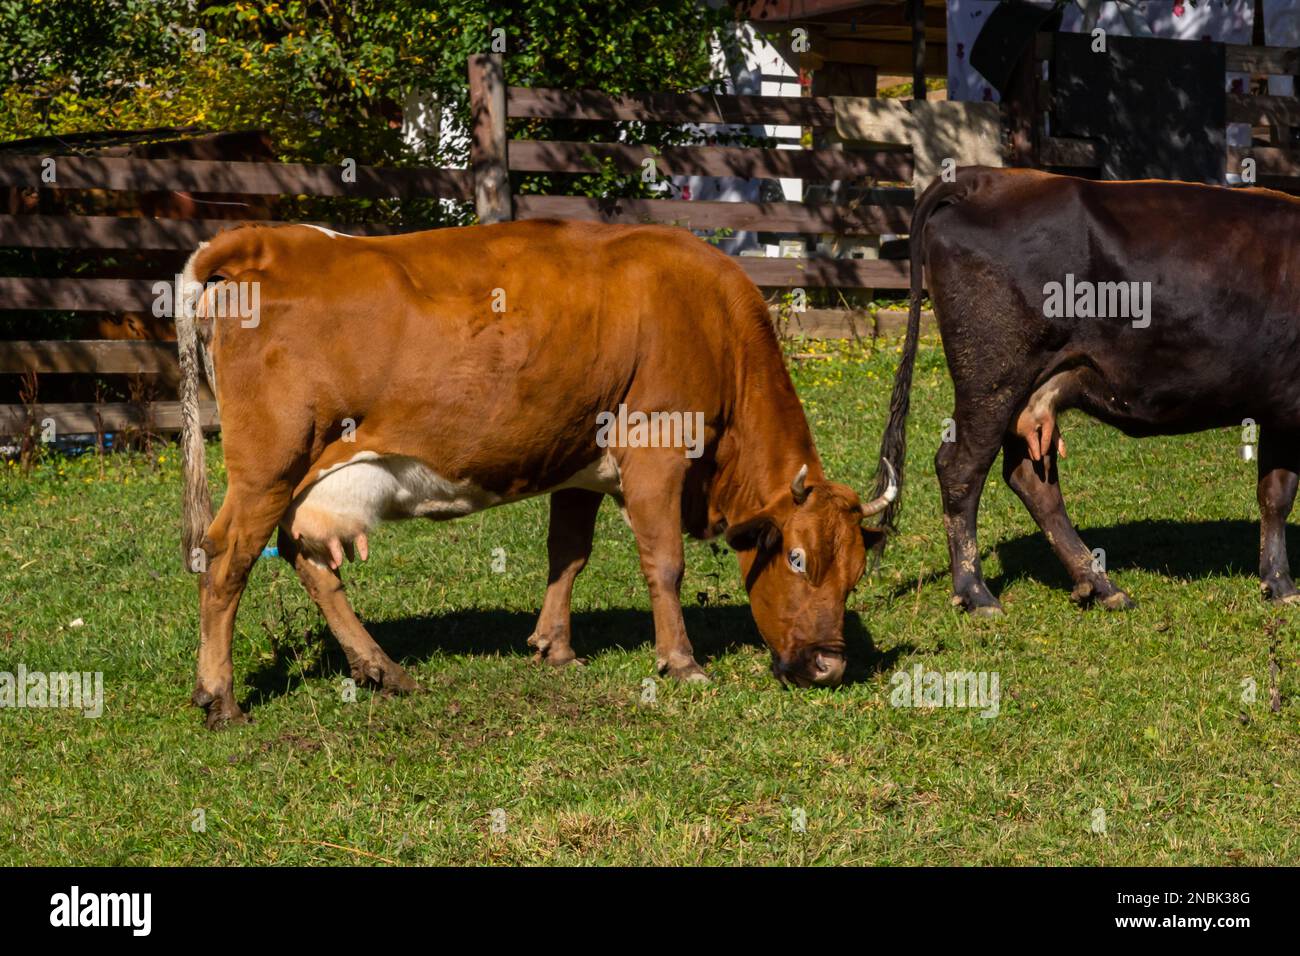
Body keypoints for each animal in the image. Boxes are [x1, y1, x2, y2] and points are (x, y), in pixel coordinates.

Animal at [176, 219, 897, 727]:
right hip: (268, 467)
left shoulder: (579, 464)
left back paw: (380, 668)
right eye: (797, 559)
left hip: (304, 477)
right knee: (227, 559)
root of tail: (269, 241)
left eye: (857, 572)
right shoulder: (656, 446)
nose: (829, 667)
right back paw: (220, 696)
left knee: (306, 557)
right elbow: (664, 562)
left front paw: (555, 645)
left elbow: (568, 554)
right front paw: (682, 661)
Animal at [872, 165, 1300, 615]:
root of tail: (985, 178)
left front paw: (1278, 581)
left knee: (1032, 481)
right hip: (991, 382)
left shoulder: (1281, 410)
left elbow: (1275, 494)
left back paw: (1099, 585)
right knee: (960, 470)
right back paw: (976, 592)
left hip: (1030, 392)